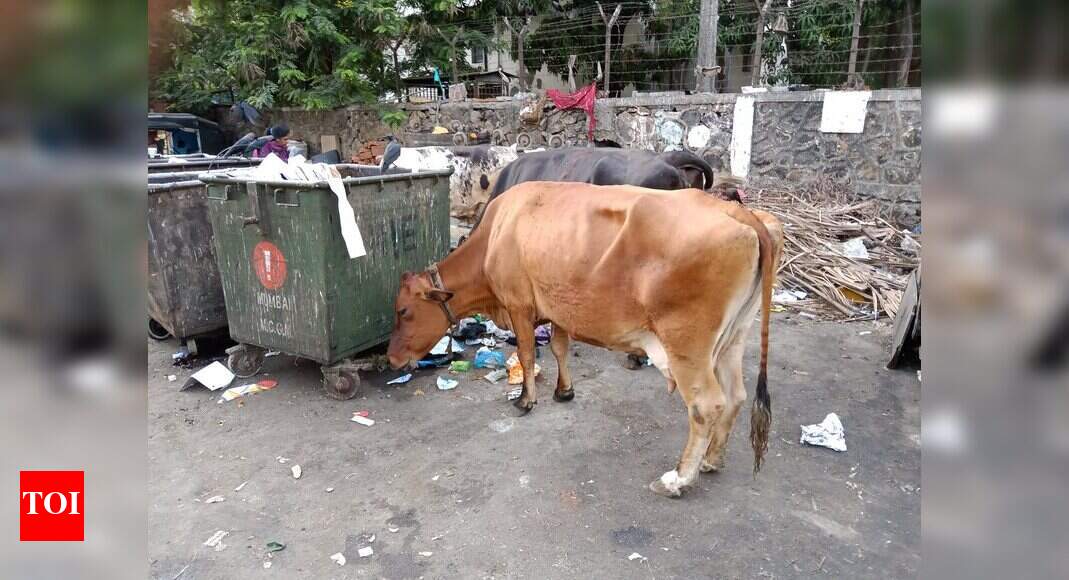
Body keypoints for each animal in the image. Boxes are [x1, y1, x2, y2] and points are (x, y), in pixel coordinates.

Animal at [388, 182, 784, 497]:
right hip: (733, 337)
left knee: (706, 405)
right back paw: (711, 460)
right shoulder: (560, 308)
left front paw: (526, 400)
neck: (495, 238)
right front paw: (564, 391)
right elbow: (560, 348)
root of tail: (736, 210)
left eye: (403, 311)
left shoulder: (519, 304)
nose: (390, 359)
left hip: (688, 345)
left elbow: (529, 354)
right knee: (736, 395)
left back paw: (677, 479)